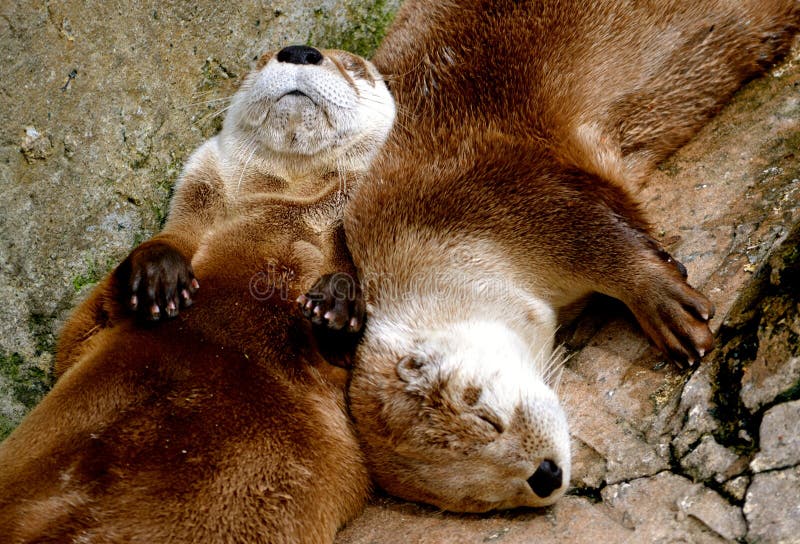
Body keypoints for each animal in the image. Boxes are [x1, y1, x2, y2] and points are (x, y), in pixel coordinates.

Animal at [0, 46, 395, 543]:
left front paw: (338, 303)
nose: (300, 51)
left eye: (356, 66)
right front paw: (159, 273)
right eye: (264, 54)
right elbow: (95, 312)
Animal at [303, 0, 800, 512]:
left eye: (484, 416)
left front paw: (665, 303)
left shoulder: (484, 183)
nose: (544, 475)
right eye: (478, 497)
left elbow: (596, 232)